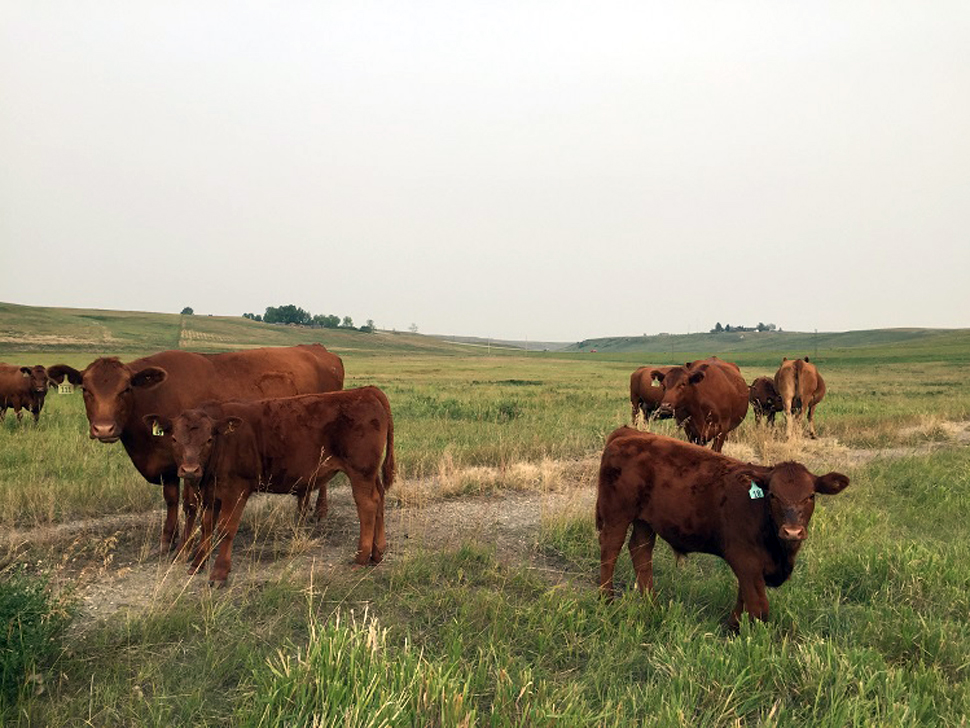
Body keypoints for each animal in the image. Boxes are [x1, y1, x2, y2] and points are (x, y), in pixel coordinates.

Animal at [47, 345, 344, 551]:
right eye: (86, 389)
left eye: (126, 389)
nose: (104, 428)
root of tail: (317, 349)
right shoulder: (167, 465)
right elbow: (171, 499)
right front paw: (167, 539)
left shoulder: (193, 463)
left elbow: (191, 504)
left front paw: (188, 544)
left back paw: (318, 512)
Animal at [145, 387, 395, 585]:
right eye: (174, 439)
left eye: (208, 439)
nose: (190, 470)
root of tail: (367, 391)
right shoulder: (211, 493)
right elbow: (207, 526)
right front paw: (197, 563)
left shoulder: (236, 489)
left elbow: (226, 529)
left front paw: (219, 573)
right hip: (370, 473)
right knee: (379, 498)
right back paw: (377, 553)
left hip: (360, 471)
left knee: (367, 505)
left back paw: (361, 558)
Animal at [595, 427, 849, 629]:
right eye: (773, 495)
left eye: (810, 496)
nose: (792, 531)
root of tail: (629, 433)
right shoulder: (744, 558)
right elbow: (758, 606)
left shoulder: (752, 565)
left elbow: (743, 597)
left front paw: (733, 626)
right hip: (617, 515)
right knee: (610, 550)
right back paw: (606, 601)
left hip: (645, 521)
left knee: (640, 551)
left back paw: (652, 604)